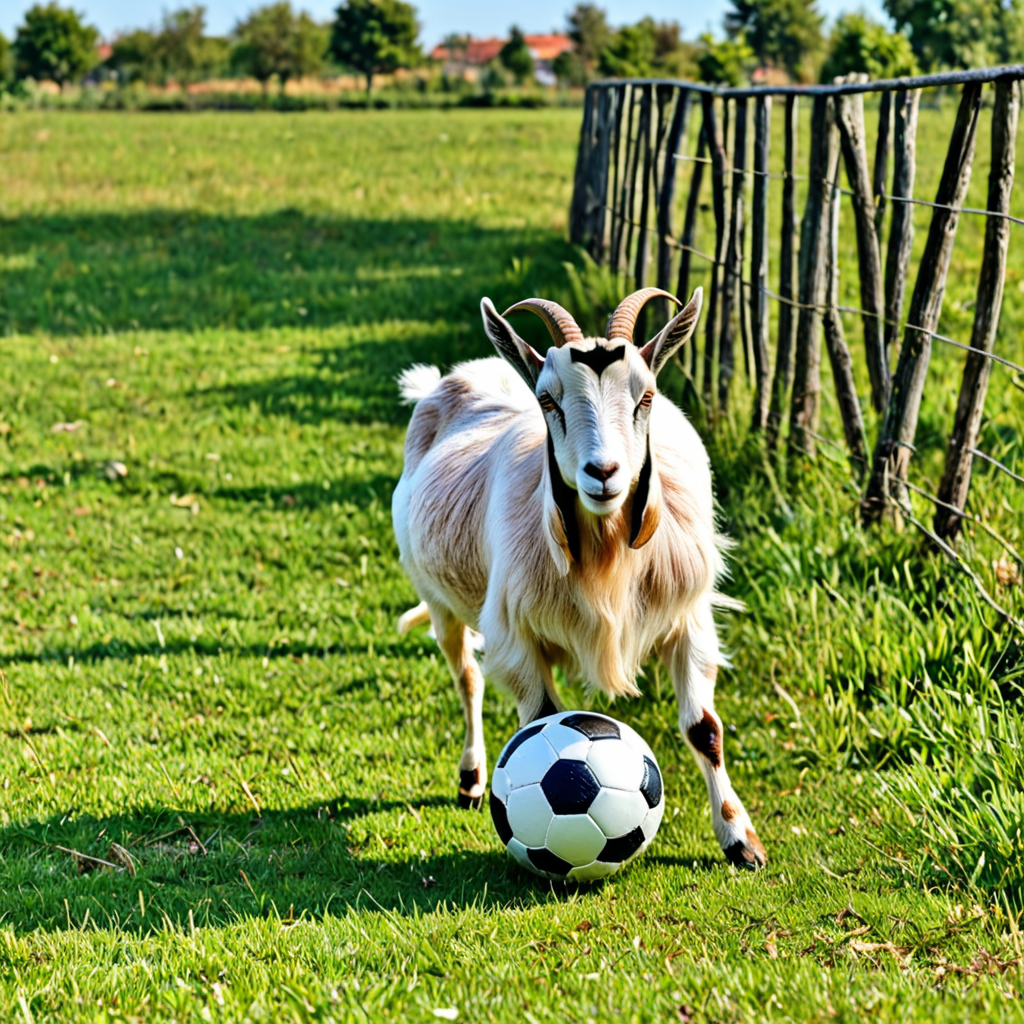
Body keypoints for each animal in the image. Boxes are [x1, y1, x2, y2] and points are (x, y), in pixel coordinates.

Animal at [391, 288, 765, 869]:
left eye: (645, 396)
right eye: (549, 400)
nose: (603, 473)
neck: (606, 554)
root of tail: (446, 381)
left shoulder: (688, 617)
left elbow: (704, 729)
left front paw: (740, 839)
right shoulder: (517, 635)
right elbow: (540, 722)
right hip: (437, 596)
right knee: (467, 675)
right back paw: (472, 778)